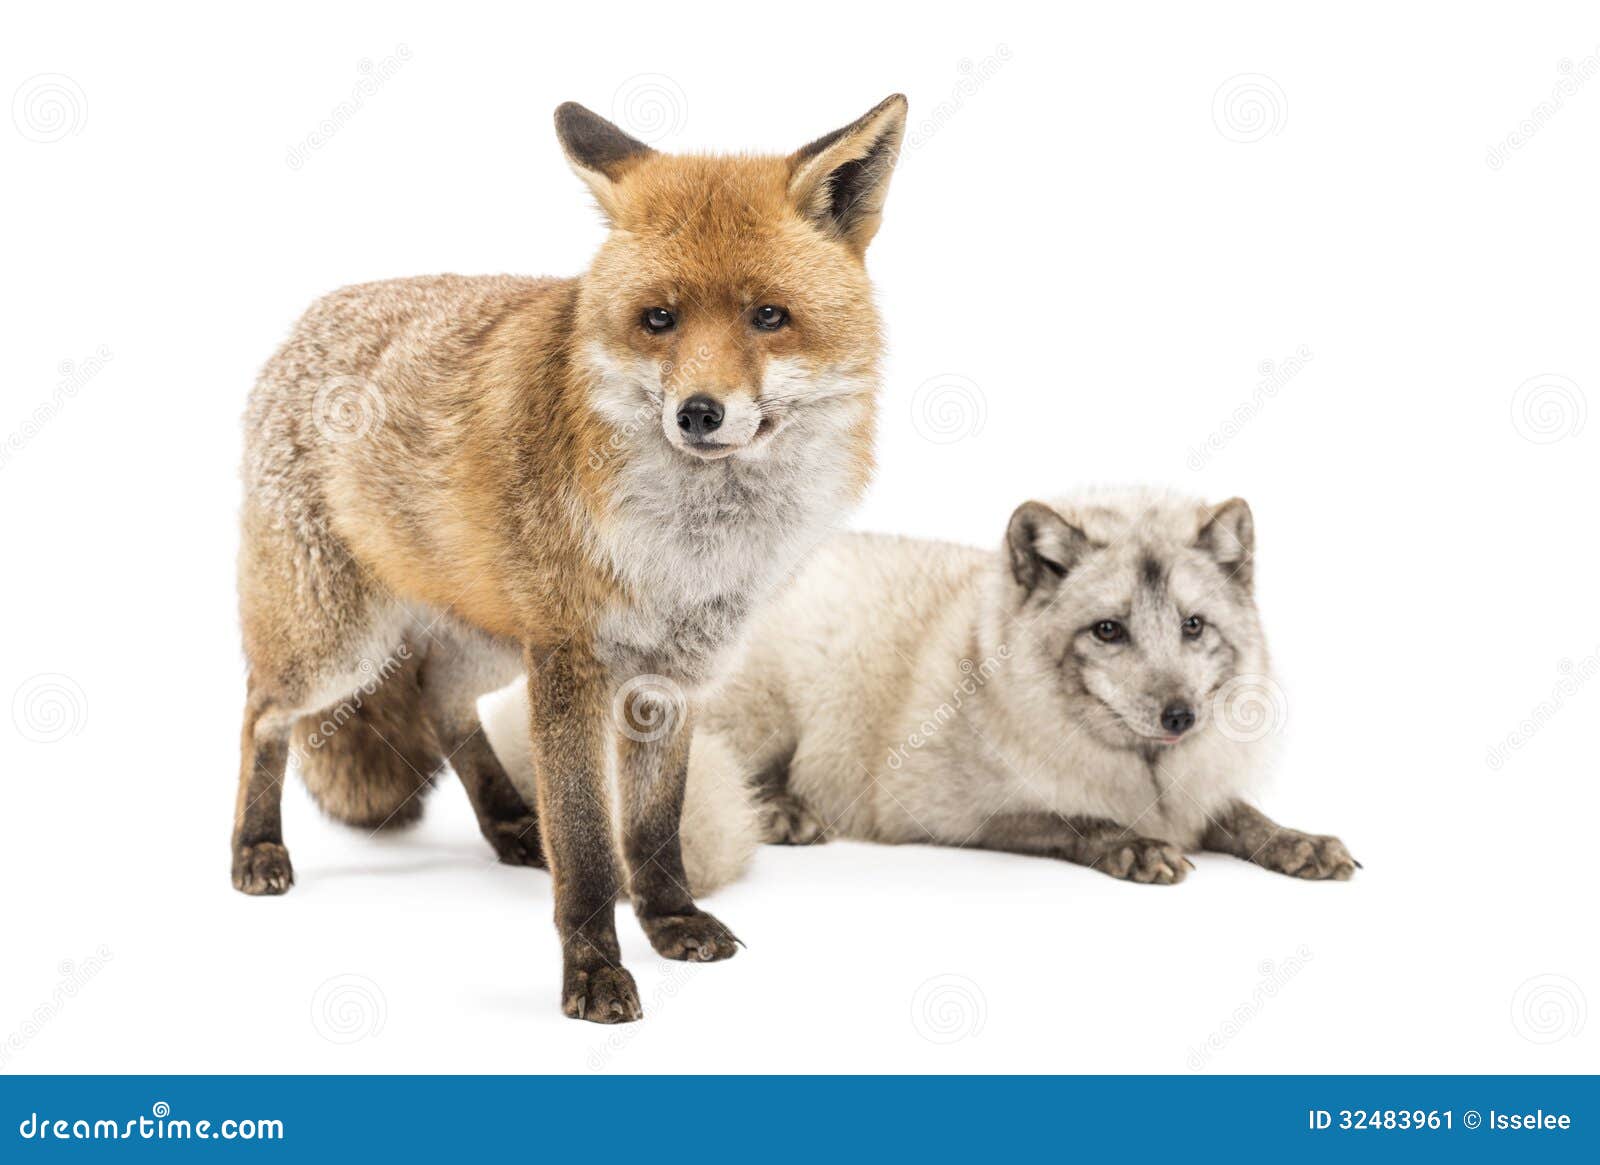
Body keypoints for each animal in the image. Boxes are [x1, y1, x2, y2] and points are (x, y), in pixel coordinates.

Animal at [233, 95, 908, 1023]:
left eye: (768, 316)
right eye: (659, 318)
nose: (700, 412)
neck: (691, 546)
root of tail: (306, 320)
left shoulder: (666, 677)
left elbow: (652, 828)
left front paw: (671, 921)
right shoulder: (571, 666)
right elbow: (588, 845)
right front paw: (593, 970)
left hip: (485, 636)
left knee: (439, 700)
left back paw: (509, 820)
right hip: (338, 648)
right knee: (260, 712)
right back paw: (256, 845)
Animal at [487, 489, 1356, 892]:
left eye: (1194, 626)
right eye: (1108, 630)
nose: (1181, 714)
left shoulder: (1204, 790)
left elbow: (1243, 815)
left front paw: (1300, 842)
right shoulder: (947, 809)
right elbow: (1073, 820)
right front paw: (1135, 844)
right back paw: (785, 813)